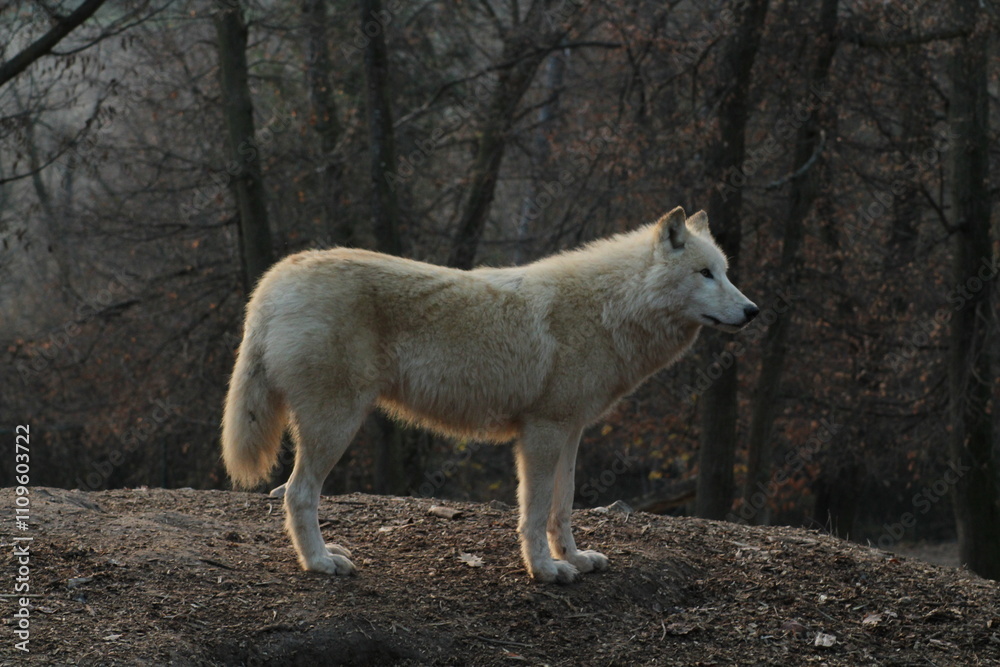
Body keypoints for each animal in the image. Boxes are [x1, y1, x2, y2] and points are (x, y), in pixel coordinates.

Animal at [221, 206, 758, 584]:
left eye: (727, 271)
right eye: (705, 273)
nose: (753, 310)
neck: (609, 309)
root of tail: (275, 278)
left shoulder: (570, 432)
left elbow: (562, 507)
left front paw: (574, 558)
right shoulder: (541, 432)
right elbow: (535, 511)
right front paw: (545, 571)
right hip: (336, 425)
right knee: (297, 494)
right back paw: (319, 563)